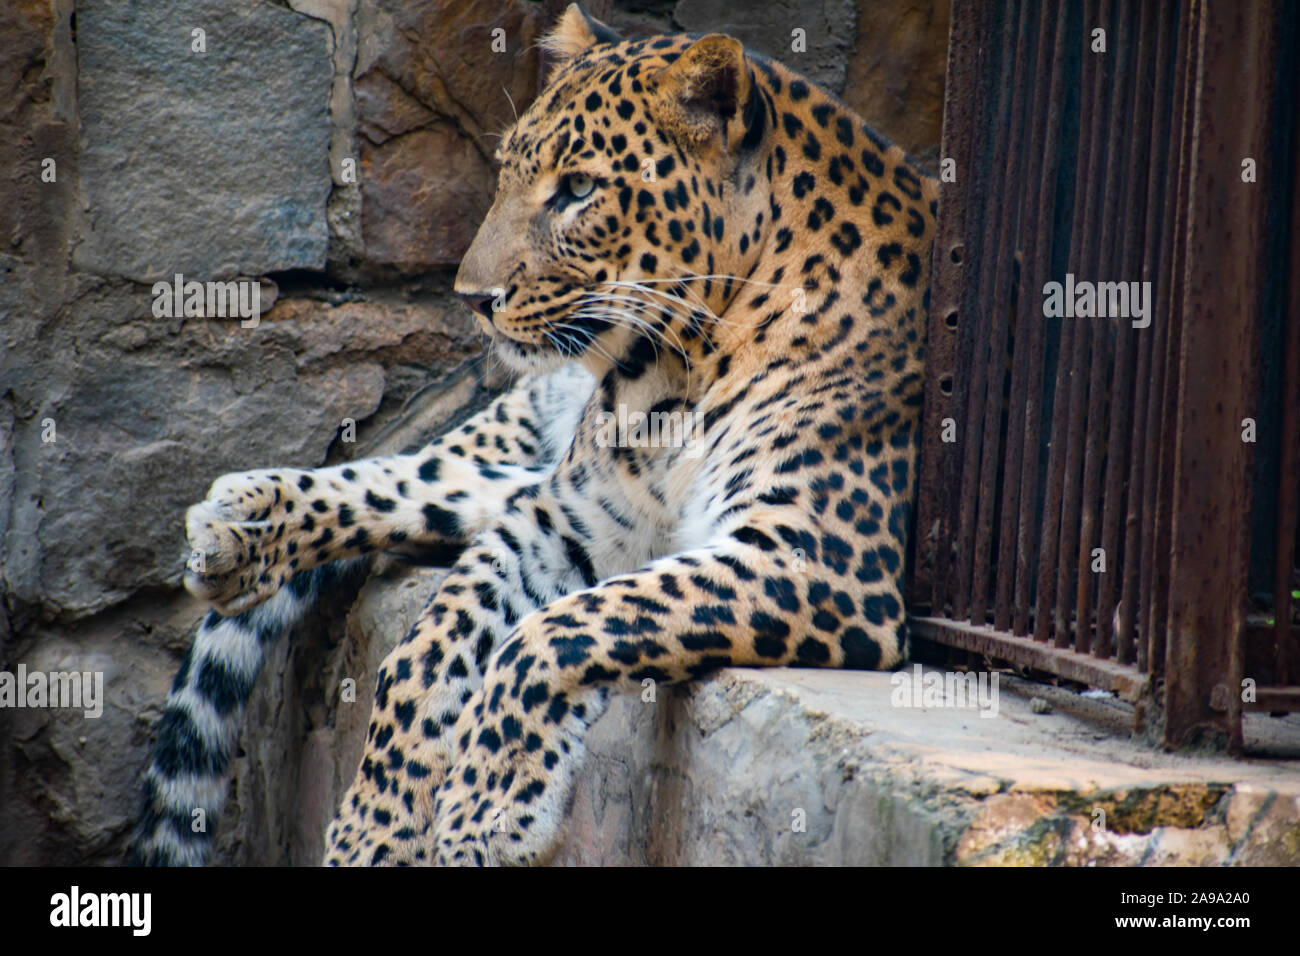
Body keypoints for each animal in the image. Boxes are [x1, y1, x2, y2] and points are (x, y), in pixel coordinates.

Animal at [132, 2, 938, 866]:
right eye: (508, 172)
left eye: (578, 190)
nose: (471, 298)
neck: (681, 367)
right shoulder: (566, 520)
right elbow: (428, 645)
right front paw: (374, 825)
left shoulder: (818, 560)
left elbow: (559, 628)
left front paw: (481, 807)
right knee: (427, 476)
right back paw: (242, 520)